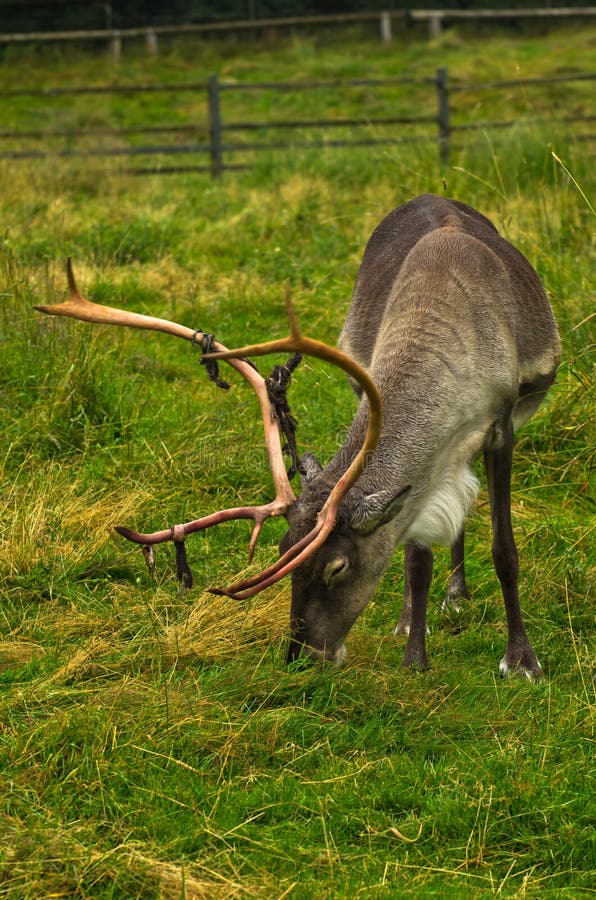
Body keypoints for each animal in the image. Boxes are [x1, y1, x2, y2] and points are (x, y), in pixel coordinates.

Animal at [35, 194, 561, 680]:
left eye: (337, 567)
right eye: (283, 550)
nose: (302, 656)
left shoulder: (501, 425)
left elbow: (505, 551)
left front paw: (522, 660)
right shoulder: (428, 463)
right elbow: (415, 557)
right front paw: (414, 649)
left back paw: (458, 594)